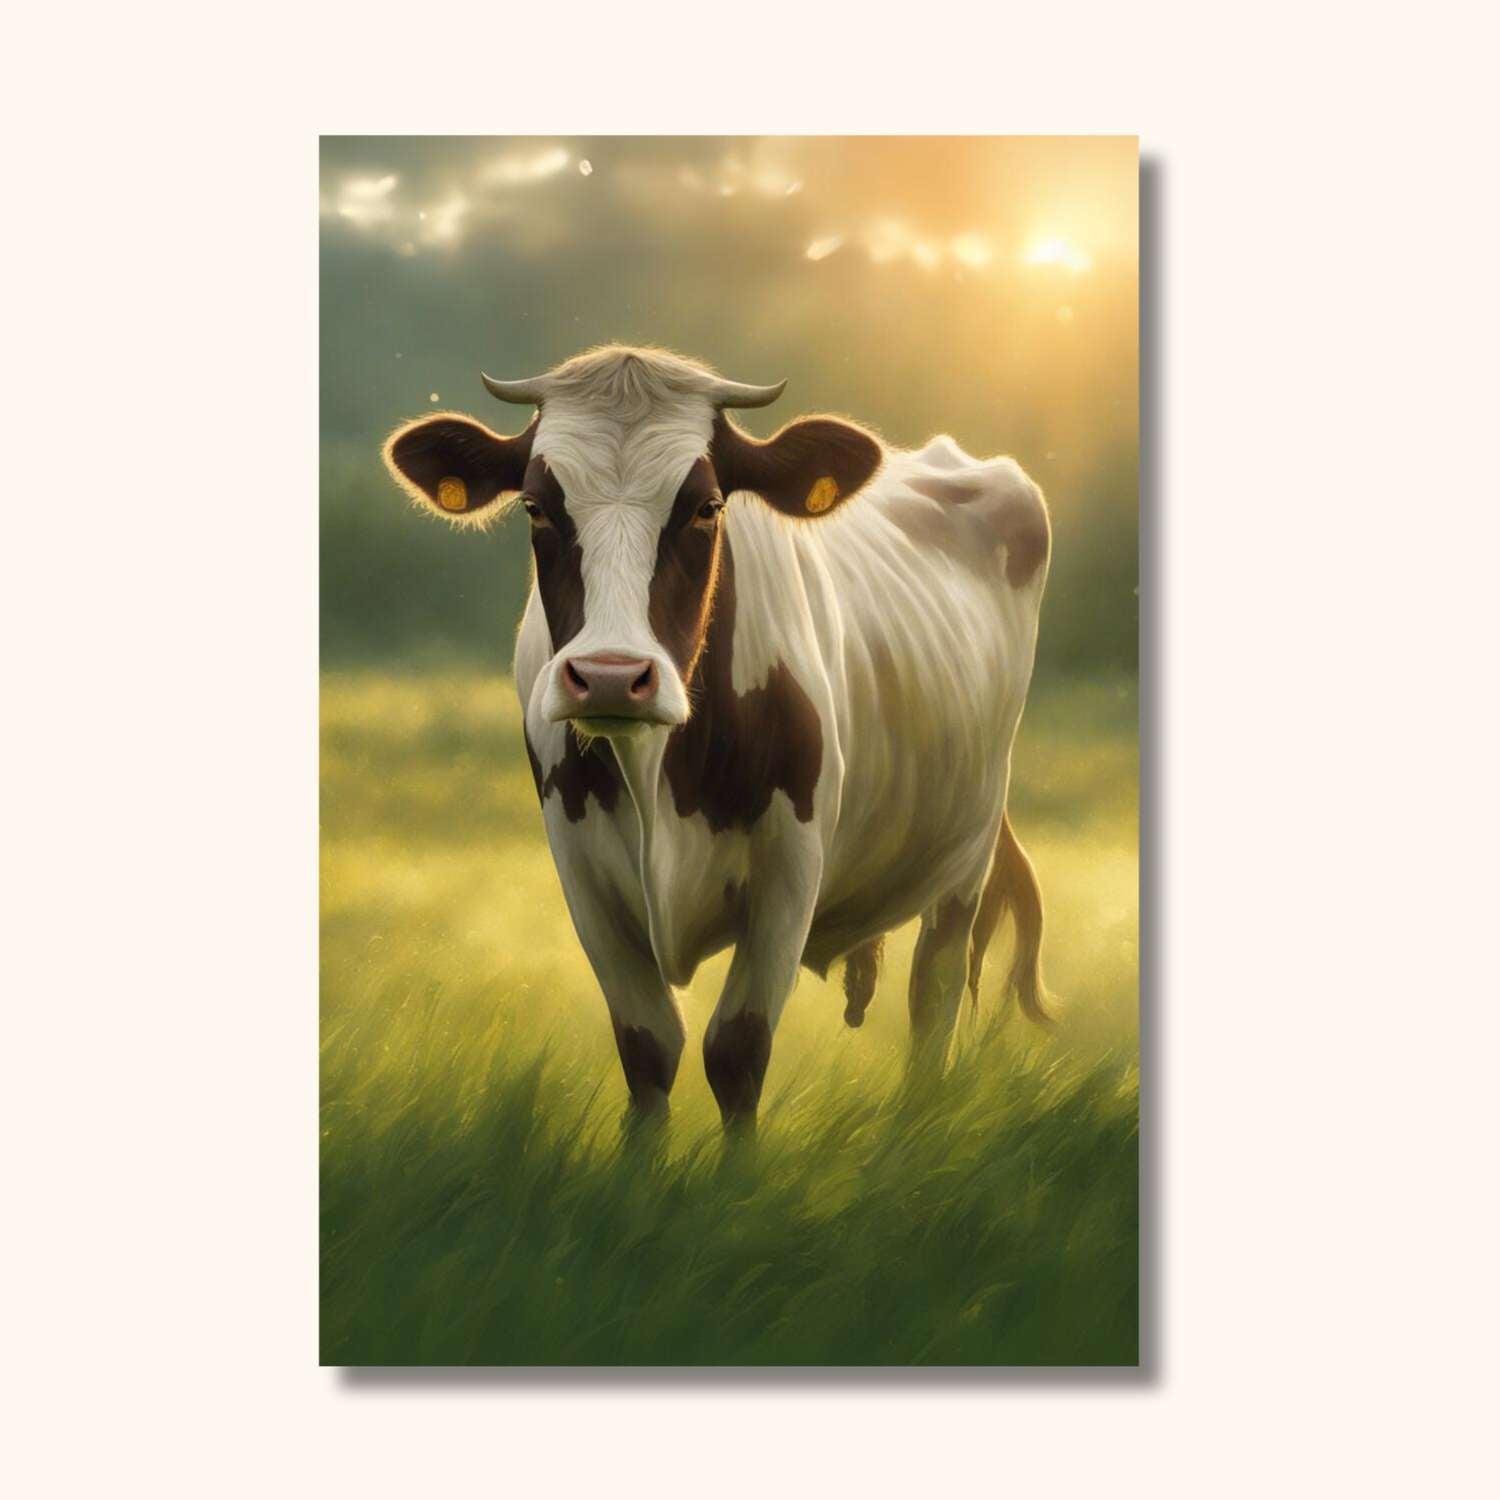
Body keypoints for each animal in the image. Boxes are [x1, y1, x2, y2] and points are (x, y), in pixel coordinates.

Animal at [383, 345, 1052, 1132]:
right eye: (536, 507)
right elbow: (648, 1049)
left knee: (932, 1005)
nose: (610, 677)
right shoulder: (579, 867)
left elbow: (736, 1051)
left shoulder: (791, 869)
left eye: (706, 507)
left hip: (964, 859)